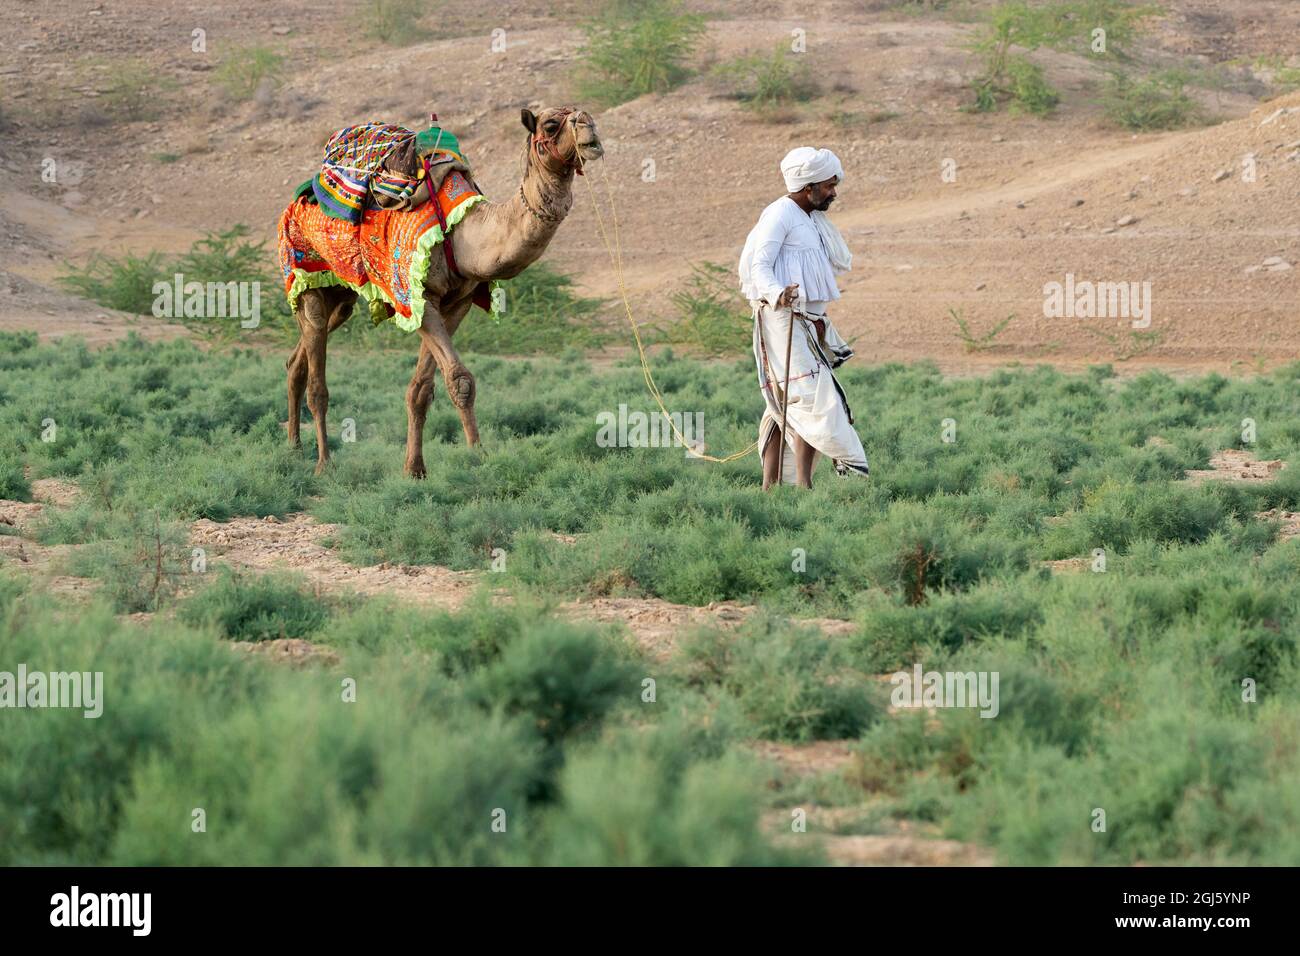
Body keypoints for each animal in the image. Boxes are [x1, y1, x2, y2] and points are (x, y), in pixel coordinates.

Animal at [284, 106, 604, 477]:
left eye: (586, 116)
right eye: (551, 124)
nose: (589, 130)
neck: (466, 234)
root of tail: (297, 201)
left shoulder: (458, 302)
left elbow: (424, 389)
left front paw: (415, 469)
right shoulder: (416, 298)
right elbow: (459, 378)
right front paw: (478, 459)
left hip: (339, 293)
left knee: (299, 358)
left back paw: (294, 448)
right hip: (305, 274)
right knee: (316, 380)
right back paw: (323, 463)